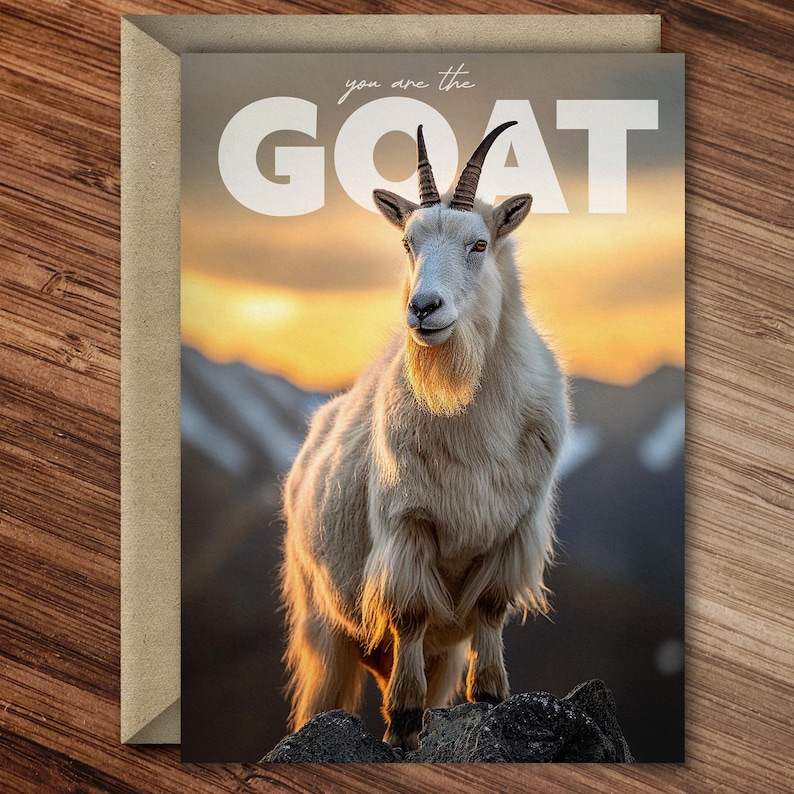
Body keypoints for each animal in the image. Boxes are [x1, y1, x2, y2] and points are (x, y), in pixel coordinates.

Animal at [280, 121, 570, 751]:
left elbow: (491, 607)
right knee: (326, 687)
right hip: (321, 621)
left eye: (479, 244)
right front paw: (405, 717)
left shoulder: (513, 531)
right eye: (408, 244)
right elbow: (408, 615)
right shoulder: (405, 529)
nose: (424, 308)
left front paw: (491, 694)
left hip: (441, 649)